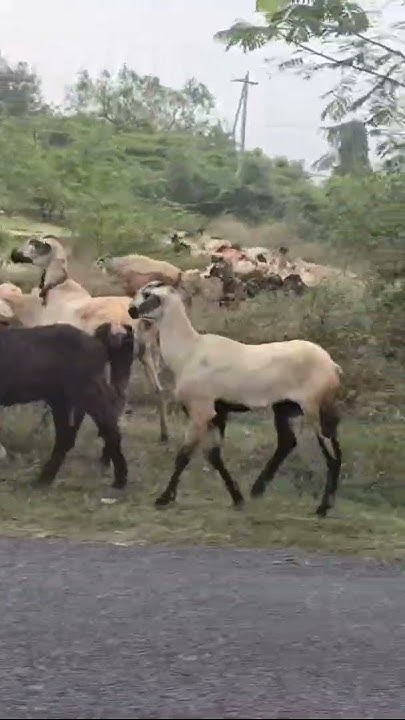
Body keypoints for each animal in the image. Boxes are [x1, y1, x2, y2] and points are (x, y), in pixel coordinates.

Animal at [0, 322, 131, 490]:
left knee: (109, 429)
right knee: (67, 435)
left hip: (87, 392)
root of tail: (96, 342)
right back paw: (45, 479)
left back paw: (120, 480)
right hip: (63, 399)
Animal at [9, 237, 169, 442]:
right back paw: (164, 434)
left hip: (122, 356)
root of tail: (143, 321)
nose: (14, 253)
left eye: (34, 244)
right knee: (158, 391)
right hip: (146, 354)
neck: (56, 293)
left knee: (119, 396)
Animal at [128, 279, 343, 517]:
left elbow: (184, 456)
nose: (131, 311)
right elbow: (213, 456)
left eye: (149, 295)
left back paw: (323, 508)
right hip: (283, 407)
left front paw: (163, 499)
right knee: (288, 442)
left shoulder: (200, 410)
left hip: (315, 408)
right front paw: (237, 497)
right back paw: (257, 489)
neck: (189, 351)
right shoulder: (218, 413)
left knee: (333, 454)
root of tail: (333, 366)